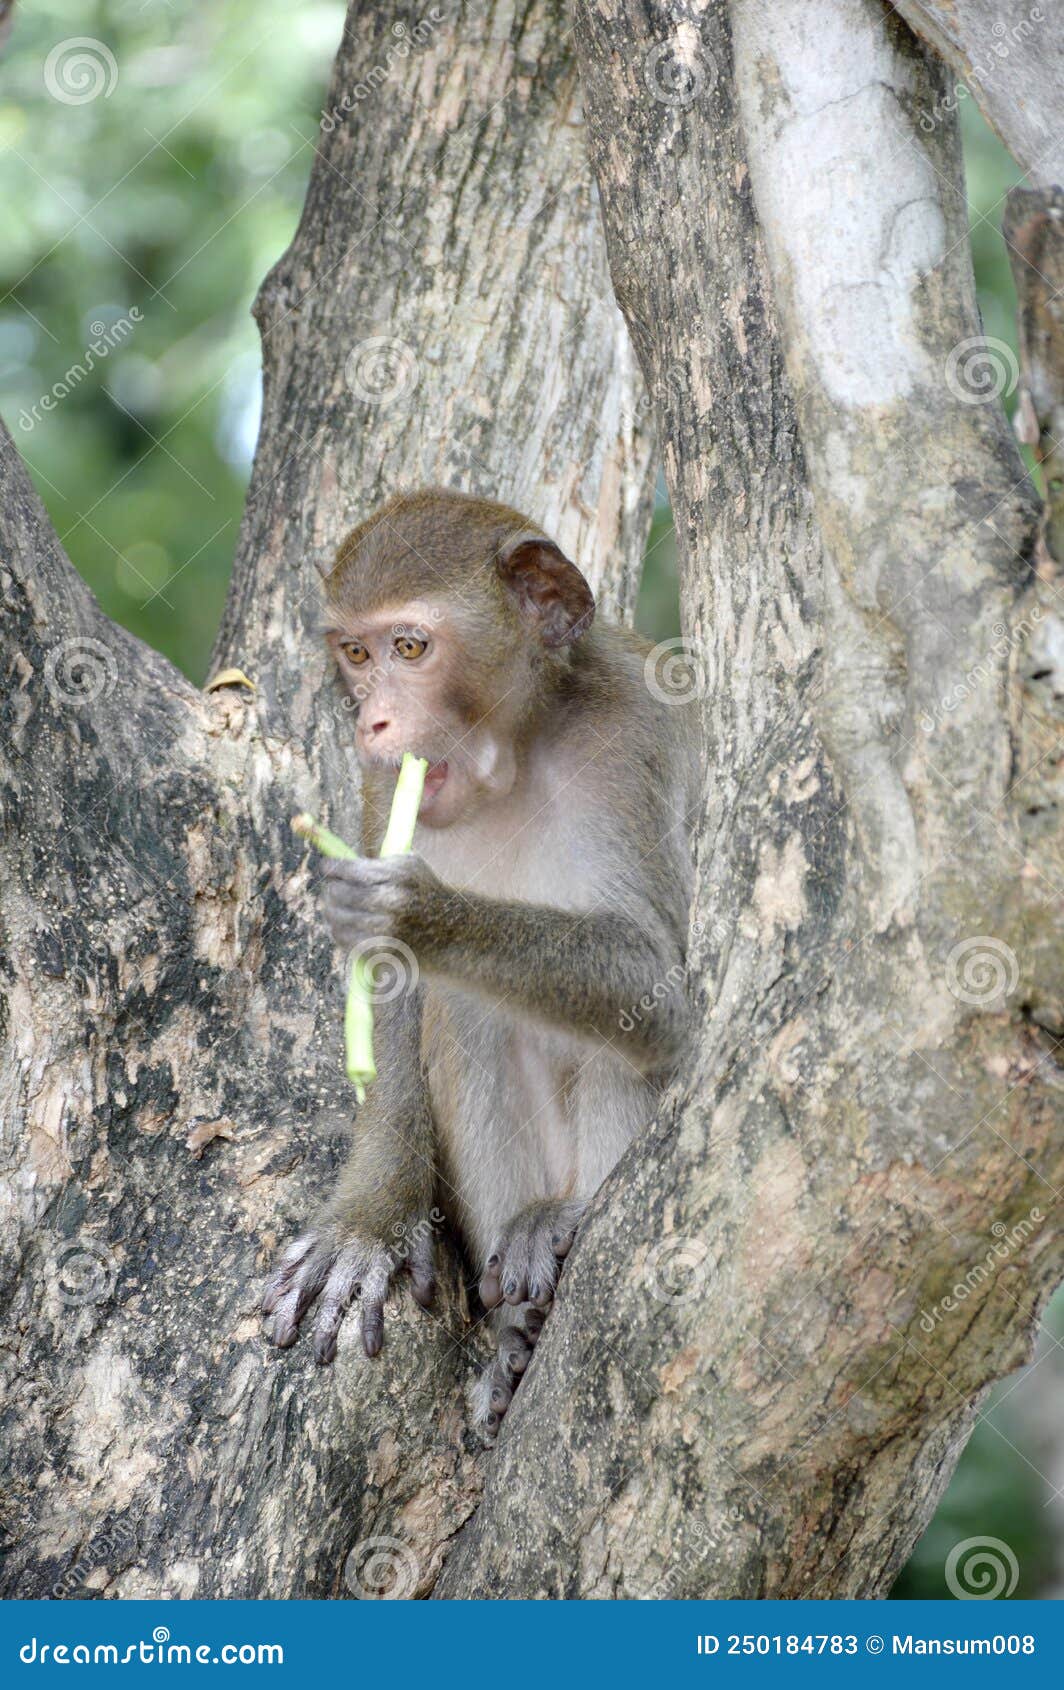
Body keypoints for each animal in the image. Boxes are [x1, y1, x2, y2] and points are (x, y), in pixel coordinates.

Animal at [262, 488, 696, 1435]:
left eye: (411, 648)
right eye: (356, 653)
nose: (372, 720)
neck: (520, 752)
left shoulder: (633, 738)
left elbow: (665, 992)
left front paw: (417, 911)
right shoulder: (384, 783)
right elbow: (397, 1003)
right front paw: (371, 1225)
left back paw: (562, 1223)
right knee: (468, 1014)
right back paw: (511, 1334)